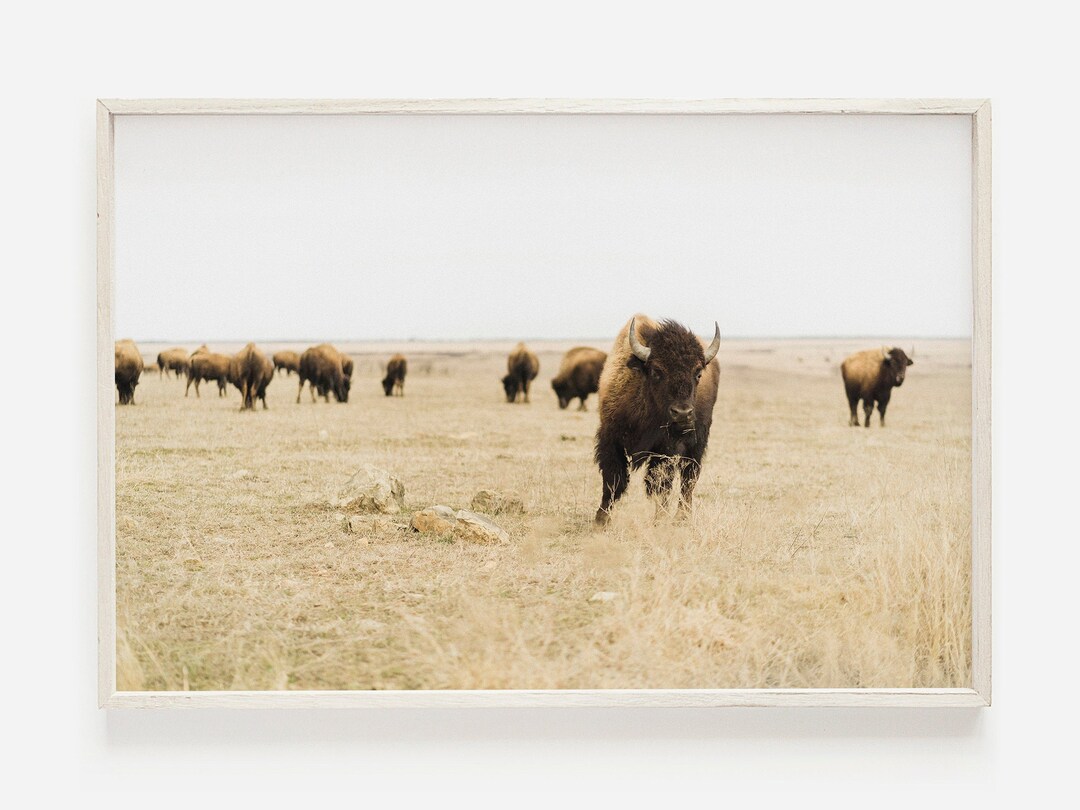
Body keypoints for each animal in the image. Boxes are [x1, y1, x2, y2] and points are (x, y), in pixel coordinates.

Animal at [593, 315, 721, 526]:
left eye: (698, 373)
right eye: (656, 371)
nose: (682, 413)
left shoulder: (665, 448)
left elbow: (660, 483)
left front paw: (659, 520)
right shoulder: (610, 439)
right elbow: (613, 480)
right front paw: (601, 520)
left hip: (697, 443)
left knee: (688, 479)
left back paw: (682, 517)